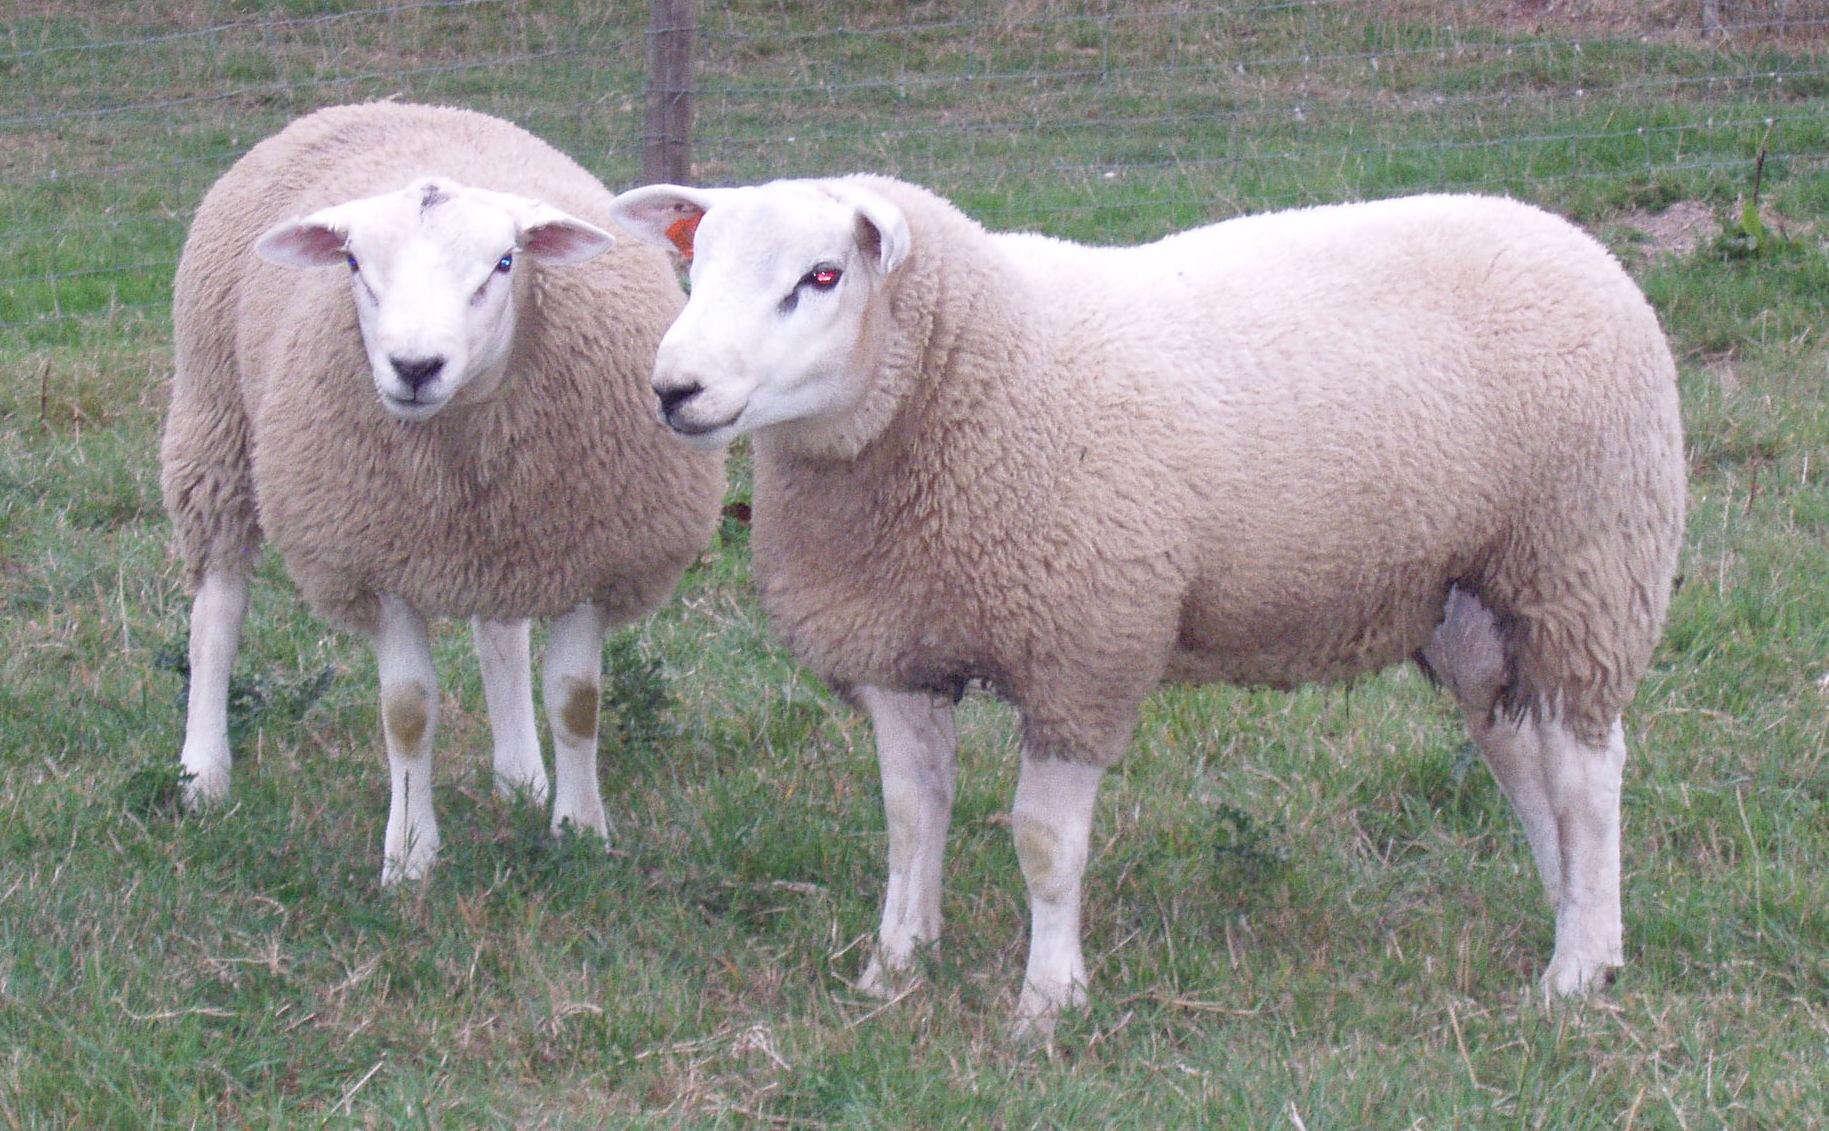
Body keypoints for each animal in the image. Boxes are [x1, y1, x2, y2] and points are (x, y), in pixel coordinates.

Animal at [162, 102, 726, 884]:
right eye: (353, 263)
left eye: (505, 262)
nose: (415, 366)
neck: (463, 434)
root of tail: (383, 103)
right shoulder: (377, 561)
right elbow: (407, 711)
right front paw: (408, 857)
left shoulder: (590, 549)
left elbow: (576, 701)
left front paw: (580, 831)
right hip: (214, 421)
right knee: (217, 613)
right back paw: (204, 775)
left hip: (506, 539)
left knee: (500, 635)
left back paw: (520, 775)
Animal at [608, 174, 1687, 1034]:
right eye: (694, 264)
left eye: (823, 277)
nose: (672, 390)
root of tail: (1575, 241)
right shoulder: (896, 653)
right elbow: (911, 818)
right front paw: (895, 964)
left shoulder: (1083, 649)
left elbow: (1044, 845)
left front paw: (1047, 1002)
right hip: (1467, 604)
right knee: (1521, 757)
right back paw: (1577, 915)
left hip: (1582, 560)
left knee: (1588, 775)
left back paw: (1574, 969)